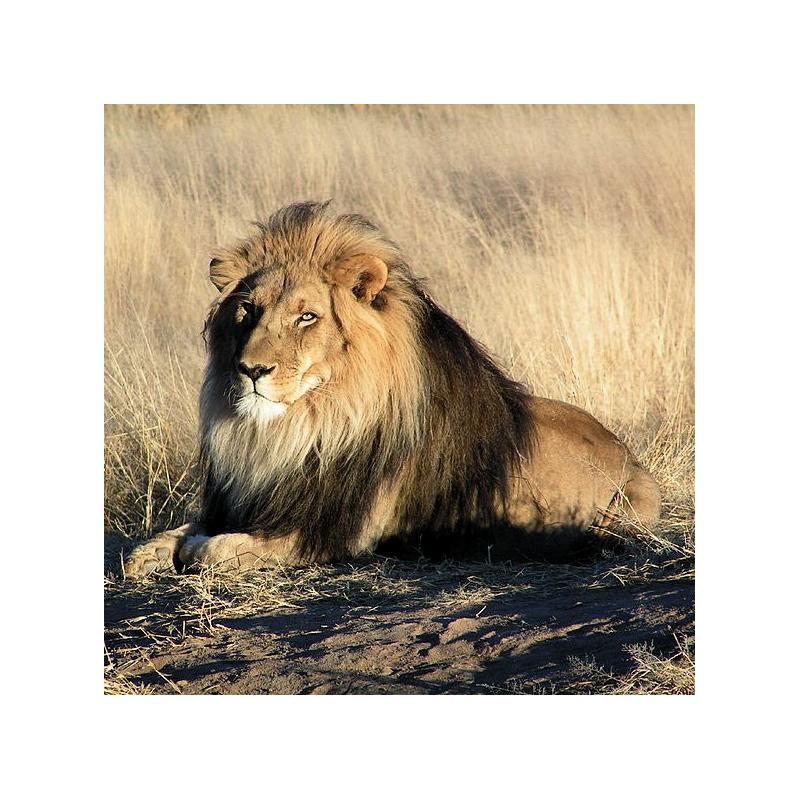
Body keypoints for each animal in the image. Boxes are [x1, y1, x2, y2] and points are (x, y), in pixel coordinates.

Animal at [124, 201, 660, 577]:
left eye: (306, 316)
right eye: (248, 310)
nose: (251, 369)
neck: (298, 429)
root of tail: (630, 456)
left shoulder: (329, 533)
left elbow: (213, 549)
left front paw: (193, 549)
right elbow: (175, 533)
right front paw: (150, 553)